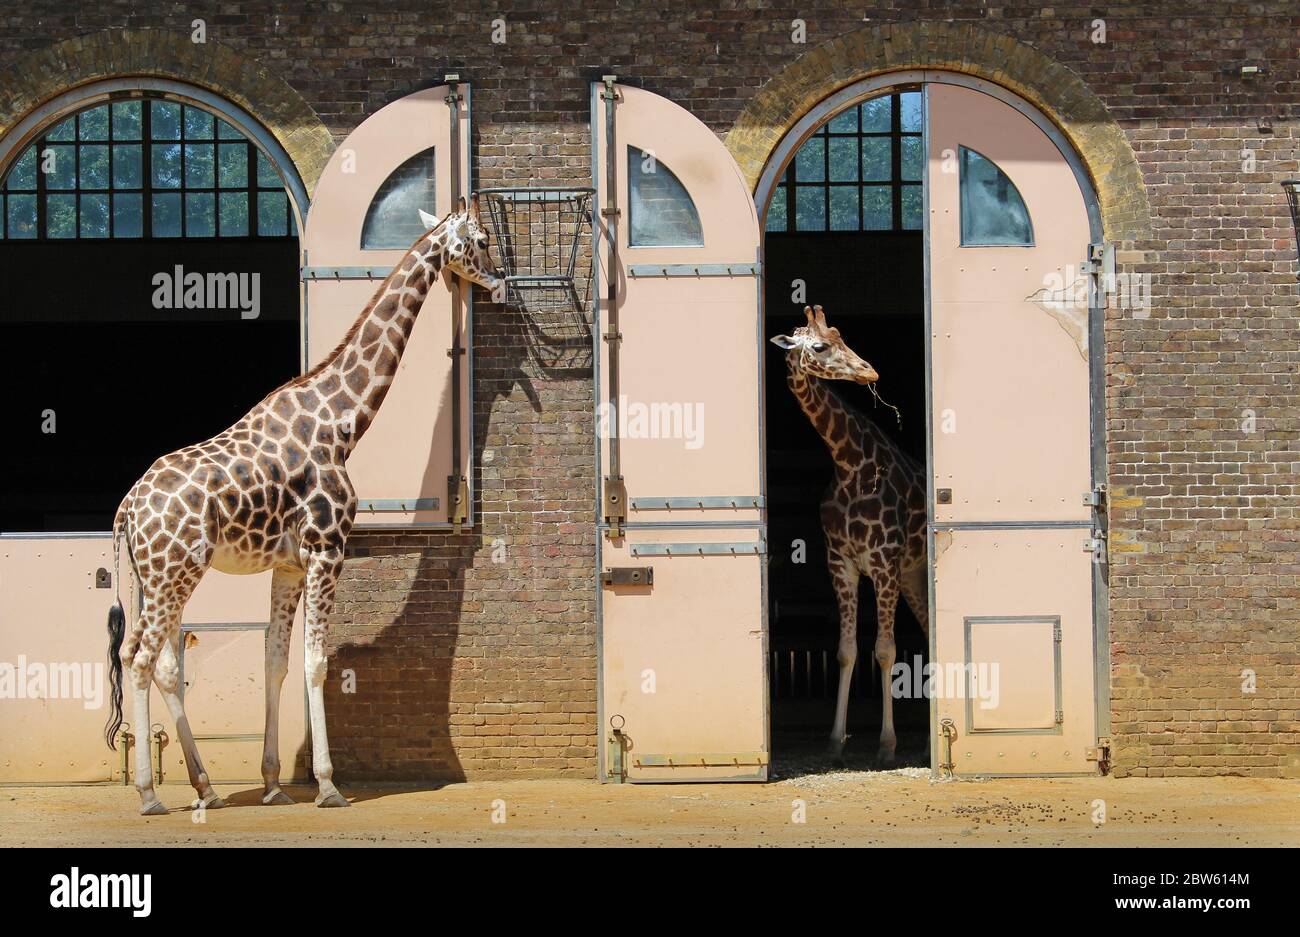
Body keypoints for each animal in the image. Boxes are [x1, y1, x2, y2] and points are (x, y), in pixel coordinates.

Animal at [103, 196, 501, 815]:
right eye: (481, 240)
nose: (502, 281)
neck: (341, 420)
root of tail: (127, 507)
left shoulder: (289, 564)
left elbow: (276, 660)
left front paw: (272, 783)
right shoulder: (326, 549)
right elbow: (317, 662)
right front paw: (329, 784)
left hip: (154, 577)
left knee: (150, 661)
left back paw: (207, 787)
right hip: (175, 573)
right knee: (141, 660)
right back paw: (149, 793)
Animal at [771, 305, 928, 766]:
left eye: (845, 338)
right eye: (820, 346)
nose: (869, 371)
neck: (849, 465)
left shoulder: (884, 562)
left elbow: (885, 651)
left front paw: (887, 746)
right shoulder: (842, 563)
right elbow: (847, 652)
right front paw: (835, 742)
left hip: (909, 572)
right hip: (913, 576)